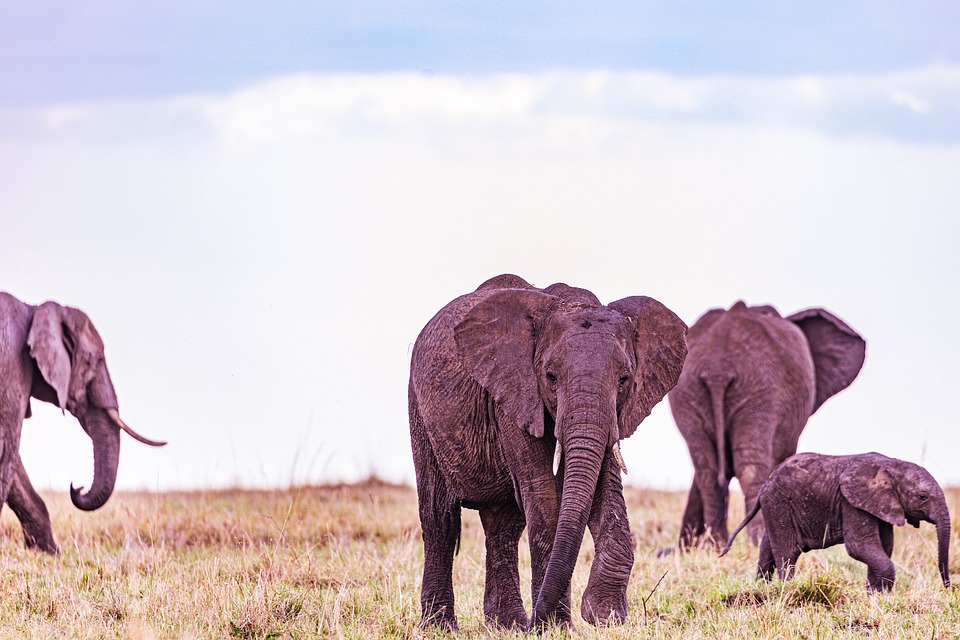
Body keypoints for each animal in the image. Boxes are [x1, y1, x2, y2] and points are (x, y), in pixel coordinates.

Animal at [0, 292, 166, 554]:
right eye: (95, 360)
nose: (76, 487)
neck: (33, 311)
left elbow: (13, 463)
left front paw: (50, 554)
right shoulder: (13, 366)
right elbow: (7, 450)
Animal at [407, 274, 687, 630]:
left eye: (624, 379)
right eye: (551, 377)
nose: (535, 623)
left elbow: (606, 493)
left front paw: (603, 615)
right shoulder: (515, 393)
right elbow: (544, 496)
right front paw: (555, 627)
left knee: (503, 525)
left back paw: (507, 625)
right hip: (420, 410)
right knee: (440, 519)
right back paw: (441, 627)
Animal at [667, 301, 865, 550]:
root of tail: (717, 370)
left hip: (689, 390)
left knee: (706, 468)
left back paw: (715, 544)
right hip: (760, 391)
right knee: (749, 466)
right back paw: (755, 542)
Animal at [721, 452, 951, 592]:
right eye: (923, 496)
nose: (948, 588)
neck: (892, 465)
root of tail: (765, 485)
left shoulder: (880, 505)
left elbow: (885, 546)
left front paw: (873, 595)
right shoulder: (851, 503)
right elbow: (859, 547)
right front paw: (878, 594)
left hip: (775, 507)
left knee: (767, 546)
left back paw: (762, 588)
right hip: (778, 503)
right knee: (788, 551)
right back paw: (787, 590)